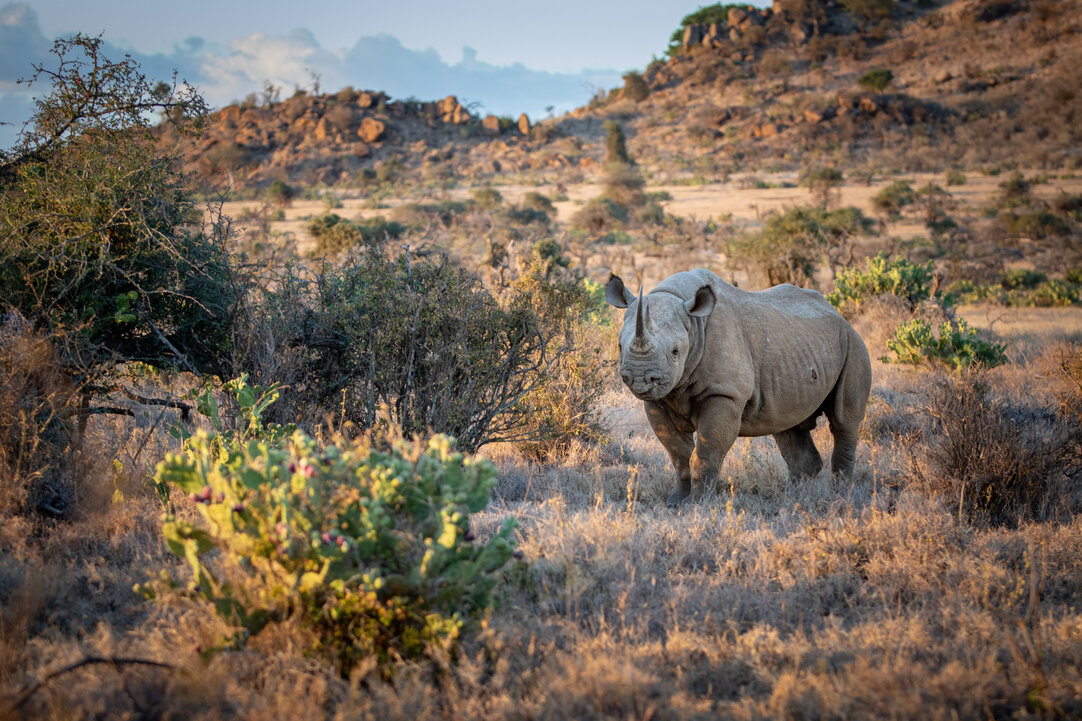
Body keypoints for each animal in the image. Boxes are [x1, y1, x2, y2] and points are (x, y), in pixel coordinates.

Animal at [605, 269, 872, 506]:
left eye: (675, 352)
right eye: (619, 346)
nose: (639, 378)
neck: (691, 322)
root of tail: (838, 314)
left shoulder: (724, 393)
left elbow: (705, 453)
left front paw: (697, 503)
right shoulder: (657, 399)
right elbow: (679, 453)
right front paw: (676, 502)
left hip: (853, 343)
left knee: (843, 421)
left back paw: (839, 493)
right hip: (797, 347)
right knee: (787, 424)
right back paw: (793, 496)